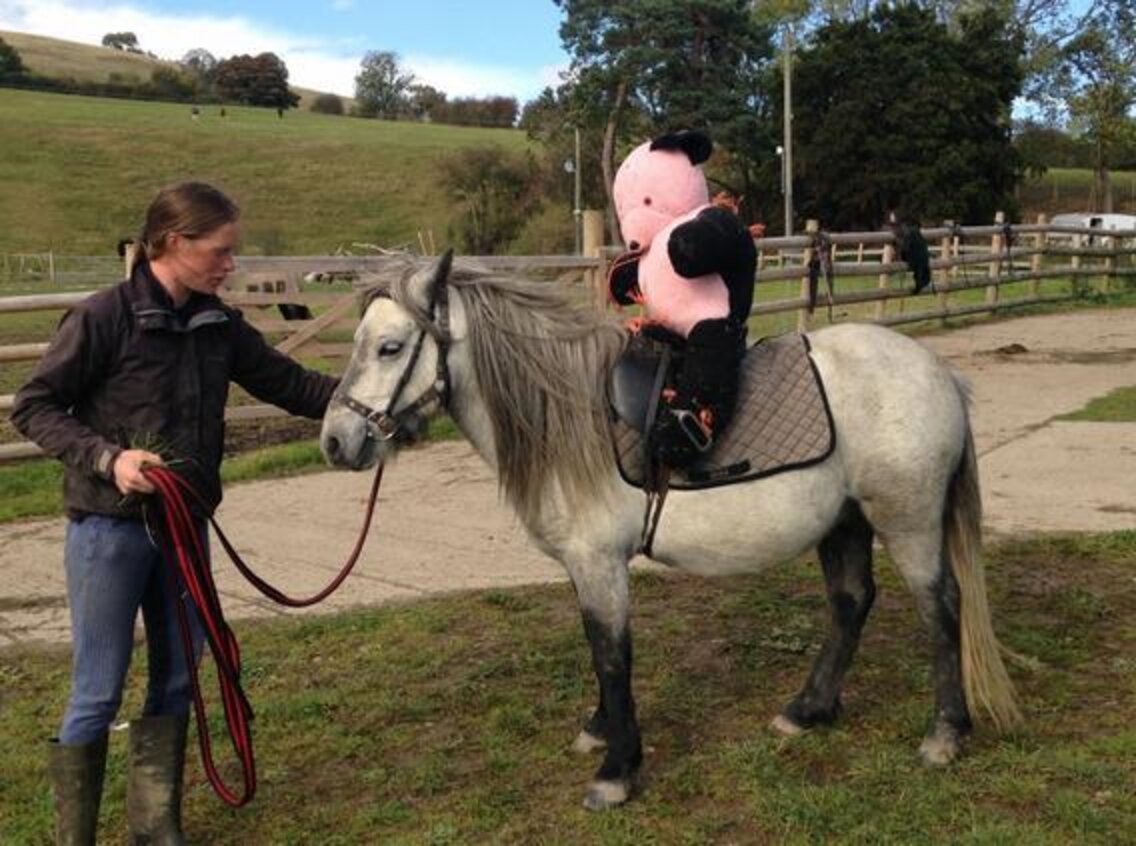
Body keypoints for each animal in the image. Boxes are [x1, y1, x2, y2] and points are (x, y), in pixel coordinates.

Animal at [319, 252, 1021, 811]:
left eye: (389, 347)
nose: (335, 441)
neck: (571, 414)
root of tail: (939, 374)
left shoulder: (599, 563)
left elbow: (611, 656)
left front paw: (617, 771)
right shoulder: (587, 569)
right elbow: (600, 653)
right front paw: (602, 732)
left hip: (907, 521)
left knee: (942, 607)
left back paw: (944, 734)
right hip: (844, 521)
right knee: (851, 602)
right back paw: (808, 710)